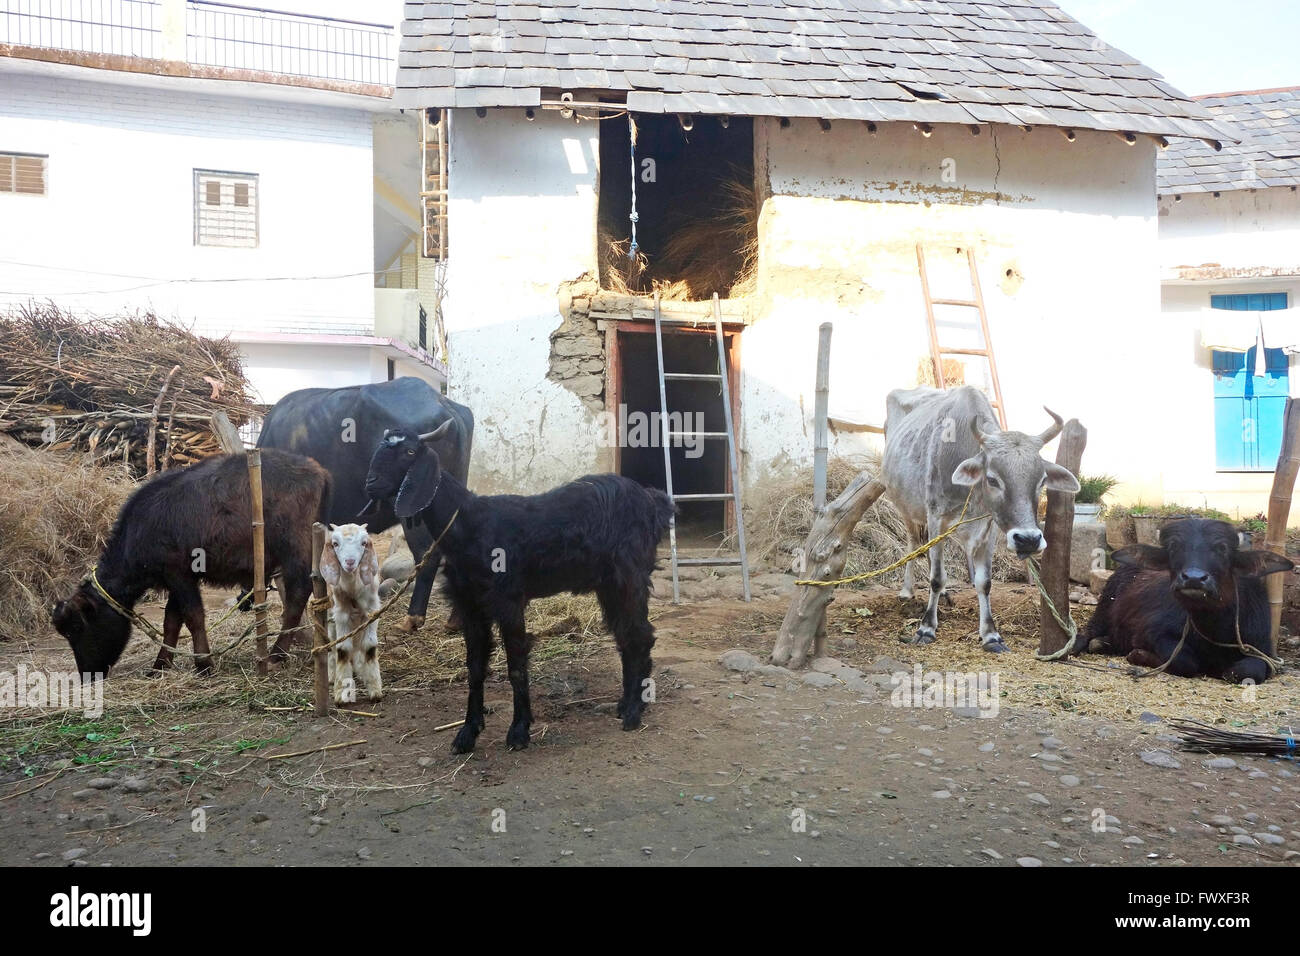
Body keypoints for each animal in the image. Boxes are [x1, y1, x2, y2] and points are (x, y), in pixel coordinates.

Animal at [881, 385, 1080, 652]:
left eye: (1042, 481)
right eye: (993, 479)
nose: (1028, 540)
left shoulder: (989, 528)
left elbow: (984, 582)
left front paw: (991, 635)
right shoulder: (936, 517)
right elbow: (936, 577)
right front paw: (926, 628)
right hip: (908, 509)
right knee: (914, 544)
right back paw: (906, 590)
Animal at [1073, 518, 1291, 683]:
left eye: (1222, 548)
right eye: (1174, 547)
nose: (1194, 578)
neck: (1214, 630)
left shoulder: (1263, 648)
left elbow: (1246, 671)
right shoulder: (1153, 632)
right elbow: (1184, 661)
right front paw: (1138, 655)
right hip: (1103, 610)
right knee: (1088, 633)